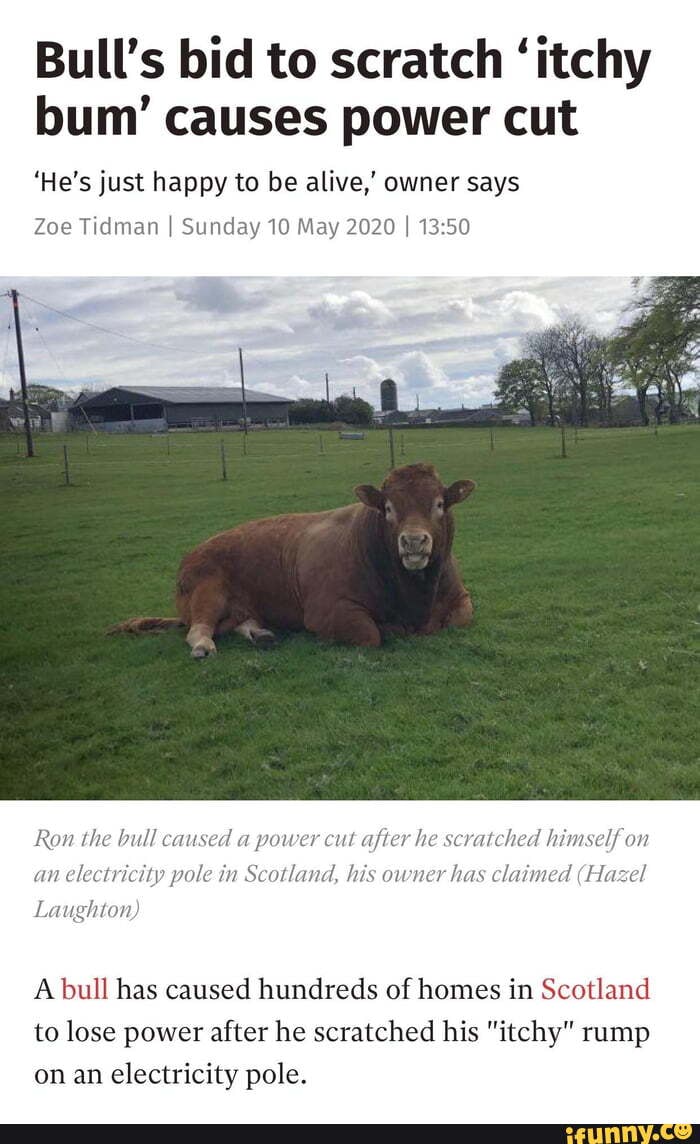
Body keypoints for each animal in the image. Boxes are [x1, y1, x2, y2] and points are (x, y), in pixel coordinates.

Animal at [108, 462, 477, 656]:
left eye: (439, 504)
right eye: (387, 508)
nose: (413, 541)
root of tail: (191, 555)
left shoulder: (461, 596)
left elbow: (462, 617)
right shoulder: (328, 611)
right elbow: (370, 634)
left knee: (238, 621)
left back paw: (261, 634)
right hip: (206, 592)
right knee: (199, 628)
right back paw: (203, 646)